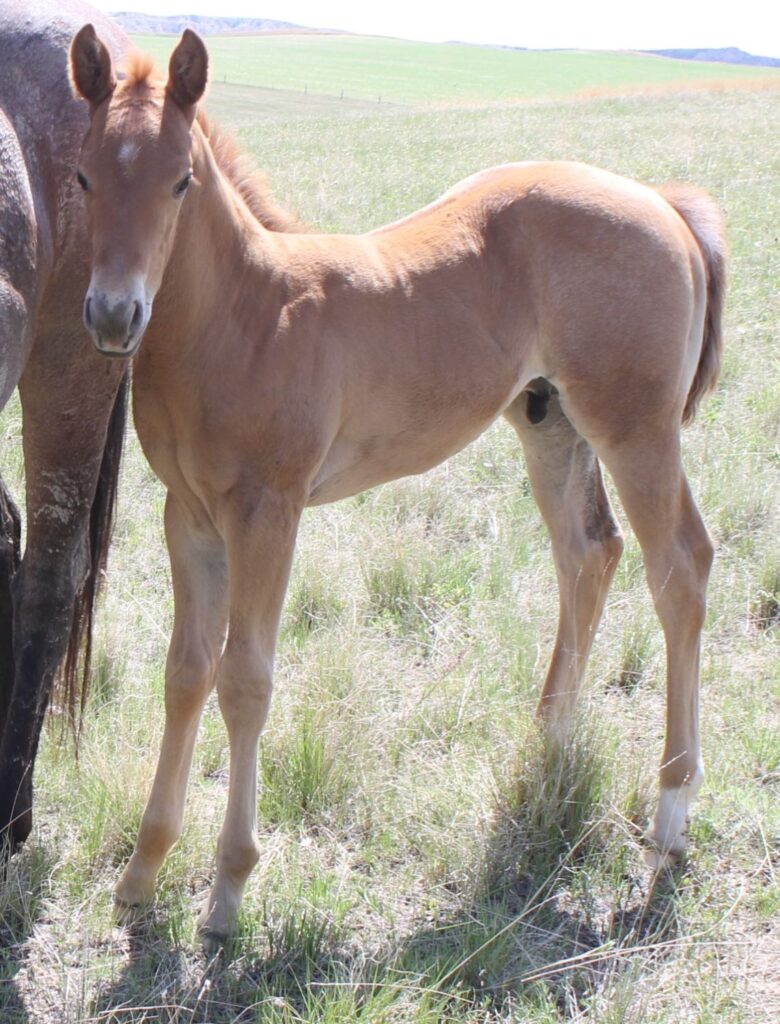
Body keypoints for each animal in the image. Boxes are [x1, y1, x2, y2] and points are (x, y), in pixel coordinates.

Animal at [70, 27, 726, 941]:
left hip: (637, 428)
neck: (241, 317)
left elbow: (245, 680)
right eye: (84, 176)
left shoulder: (268, 511)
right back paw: (548, 748)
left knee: (681, 570)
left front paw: (229, 888)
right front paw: (142, 870)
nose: (113, 316)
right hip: (550, 422)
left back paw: (669, 814)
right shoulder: (188, 514)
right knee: (589, 554)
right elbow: (186, 673)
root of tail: (664, 203)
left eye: (180, 180)